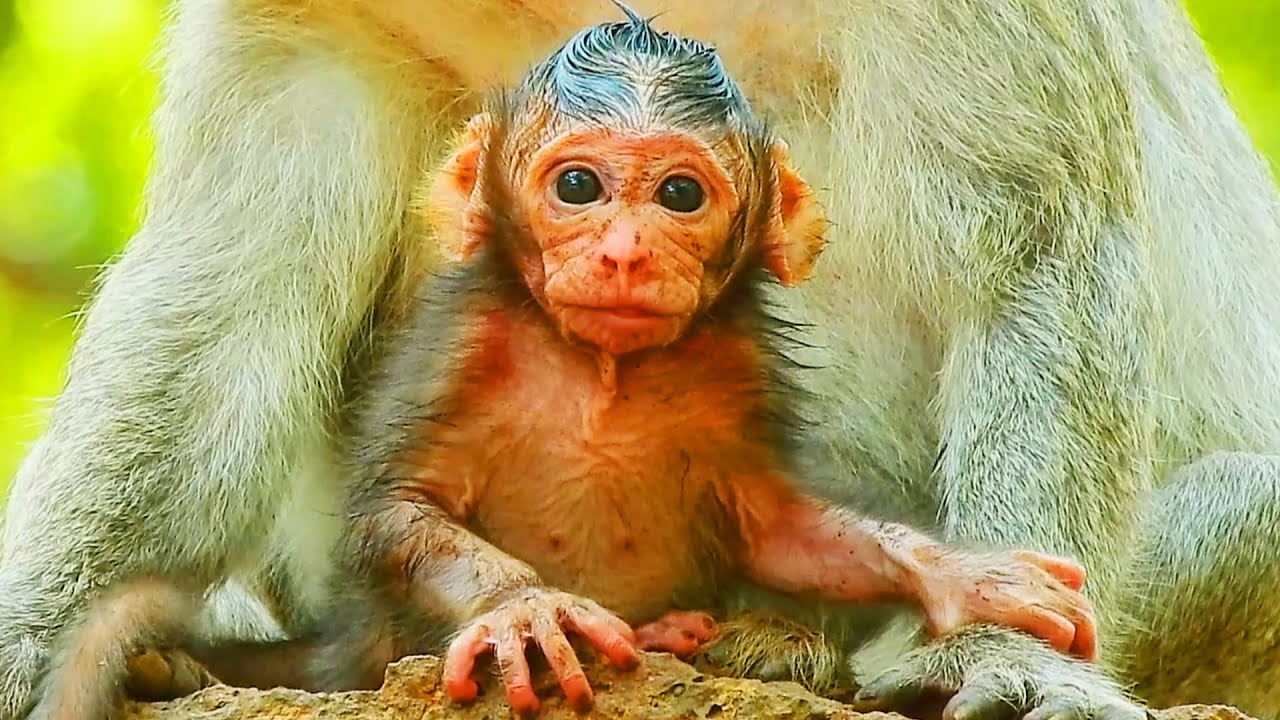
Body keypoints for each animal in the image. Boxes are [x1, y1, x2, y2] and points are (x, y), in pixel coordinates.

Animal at [4, 0, 1280, 719]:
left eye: (677, 195)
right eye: (574, 184)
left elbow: (1035, 255)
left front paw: (1003, 649)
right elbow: (224, 308)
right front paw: (35, 641)